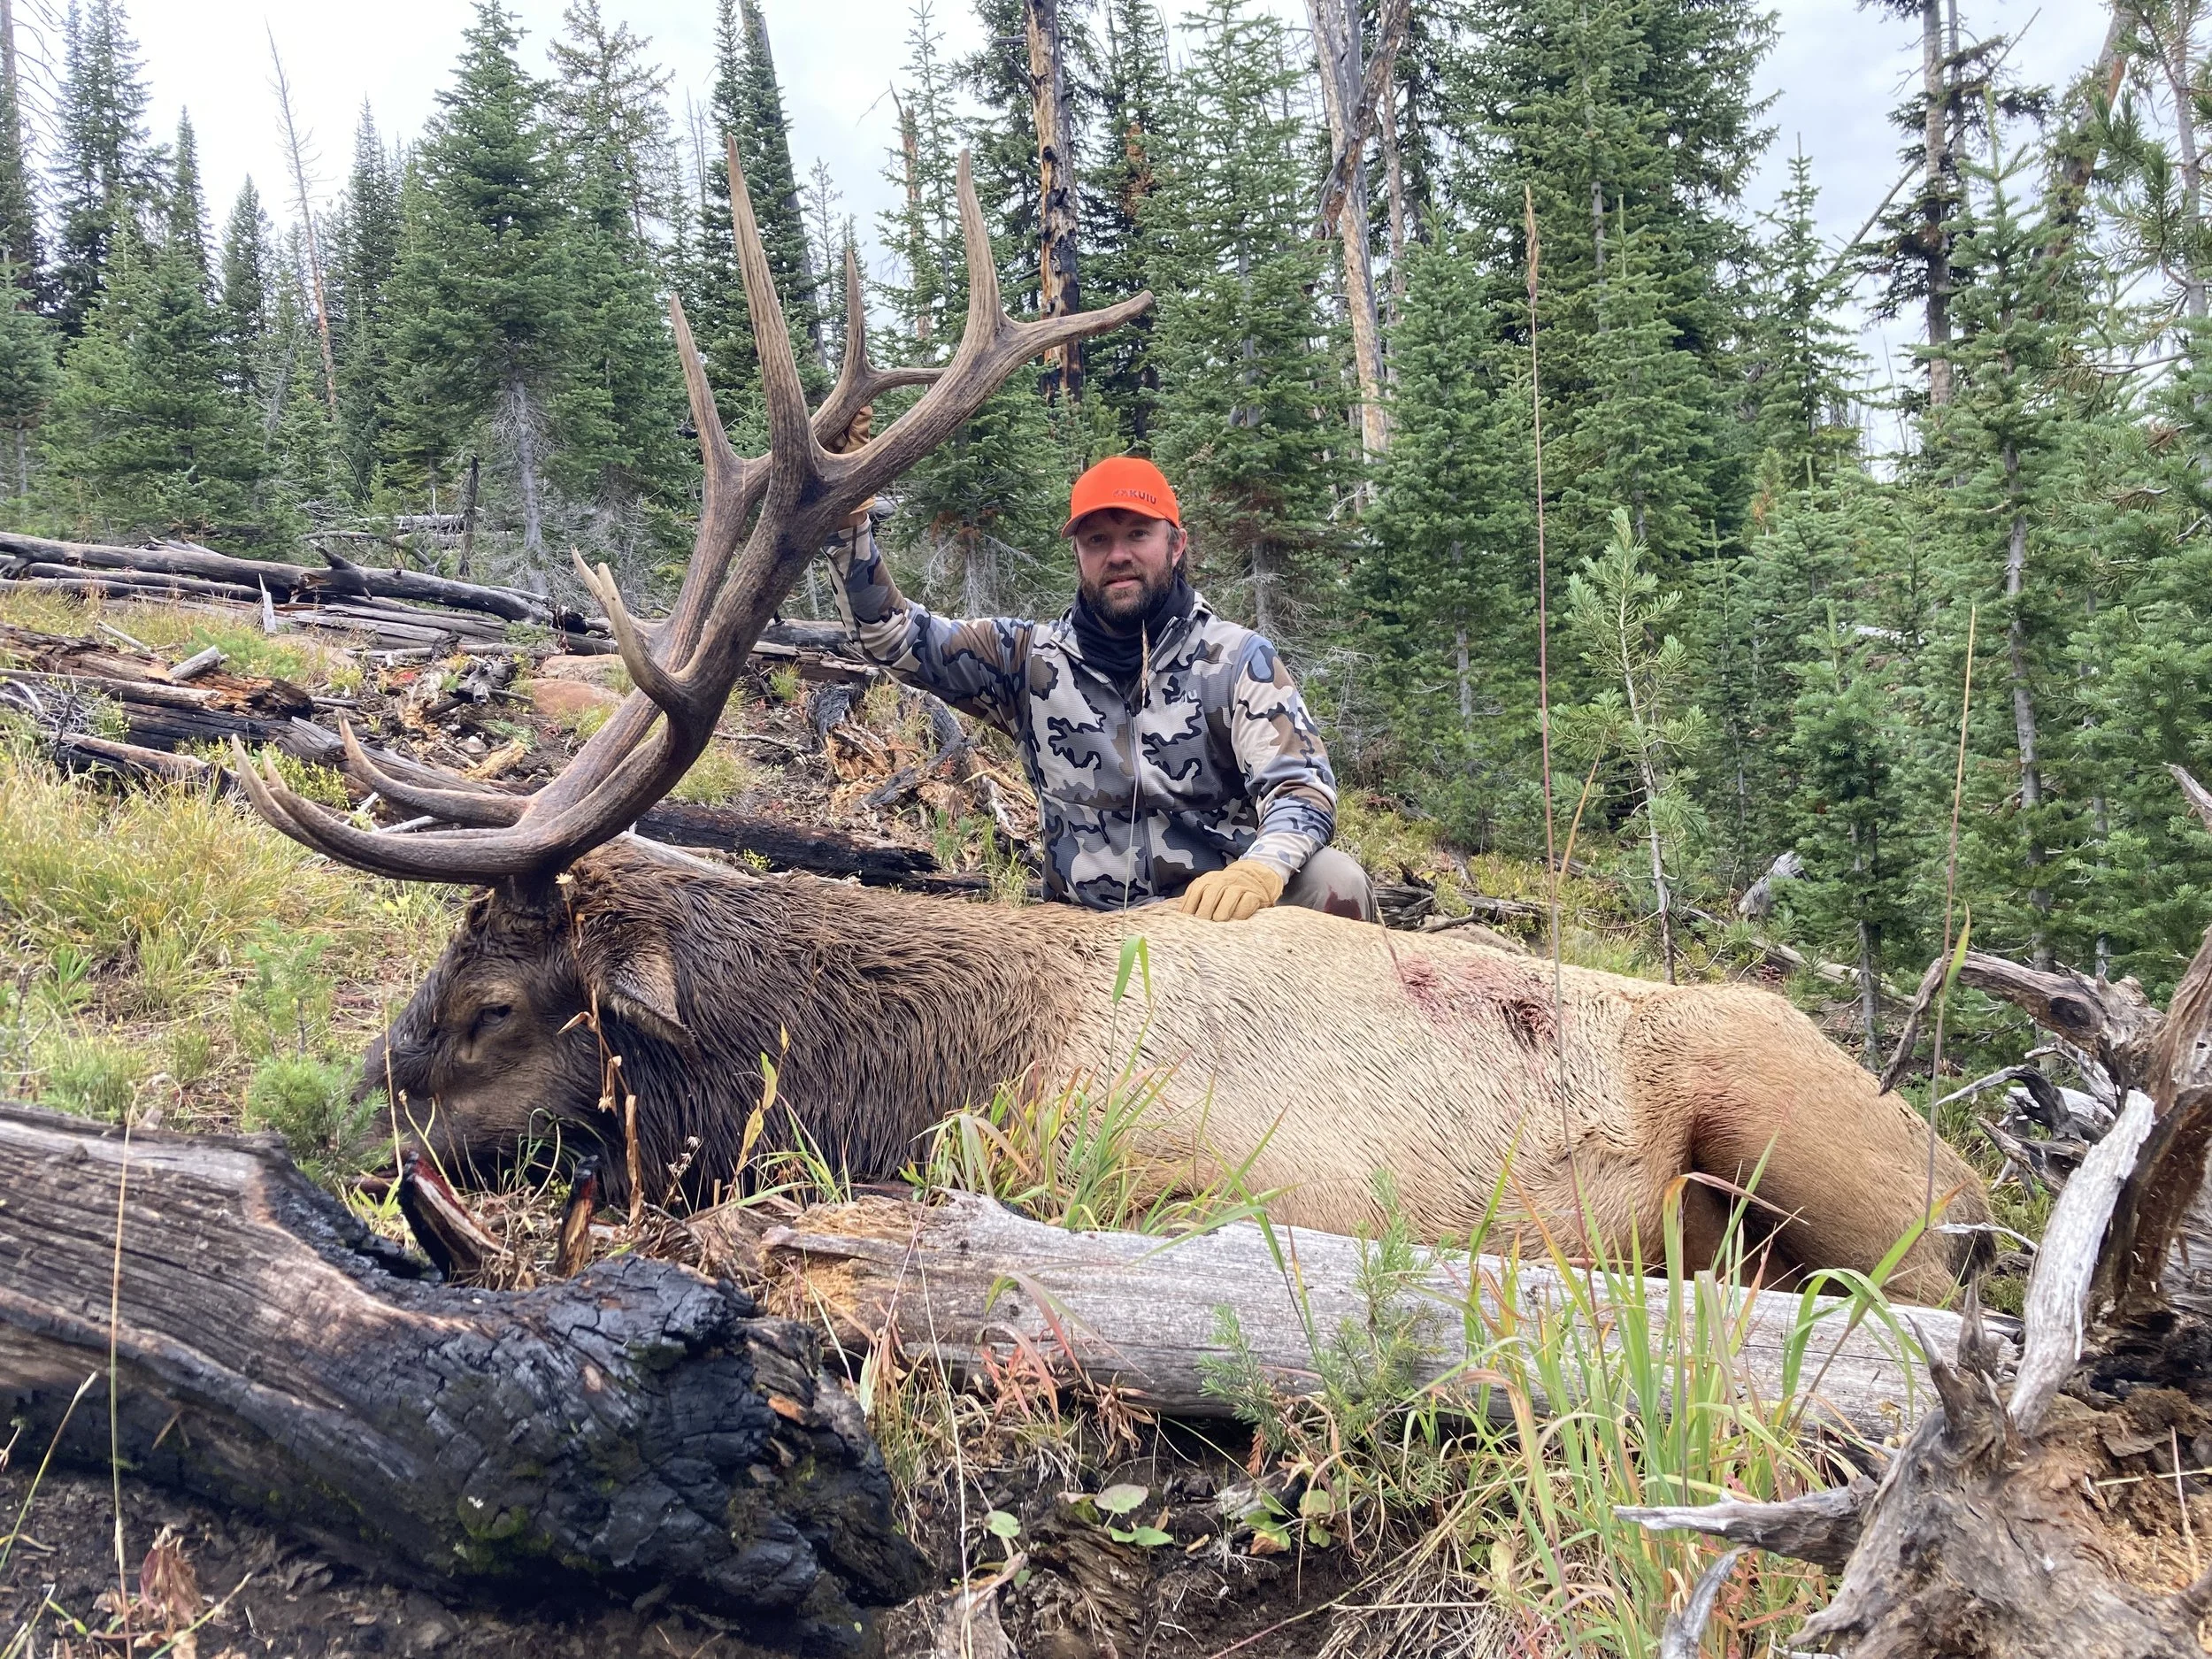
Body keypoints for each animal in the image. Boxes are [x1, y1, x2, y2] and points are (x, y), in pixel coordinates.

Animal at [235, 144, 1990, 1304]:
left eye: (493, 1009)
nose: (318, 1108)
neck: (915, 1070)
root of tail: (1967, 1161)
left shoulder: (1187, 1172)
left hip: (1809, 1136)